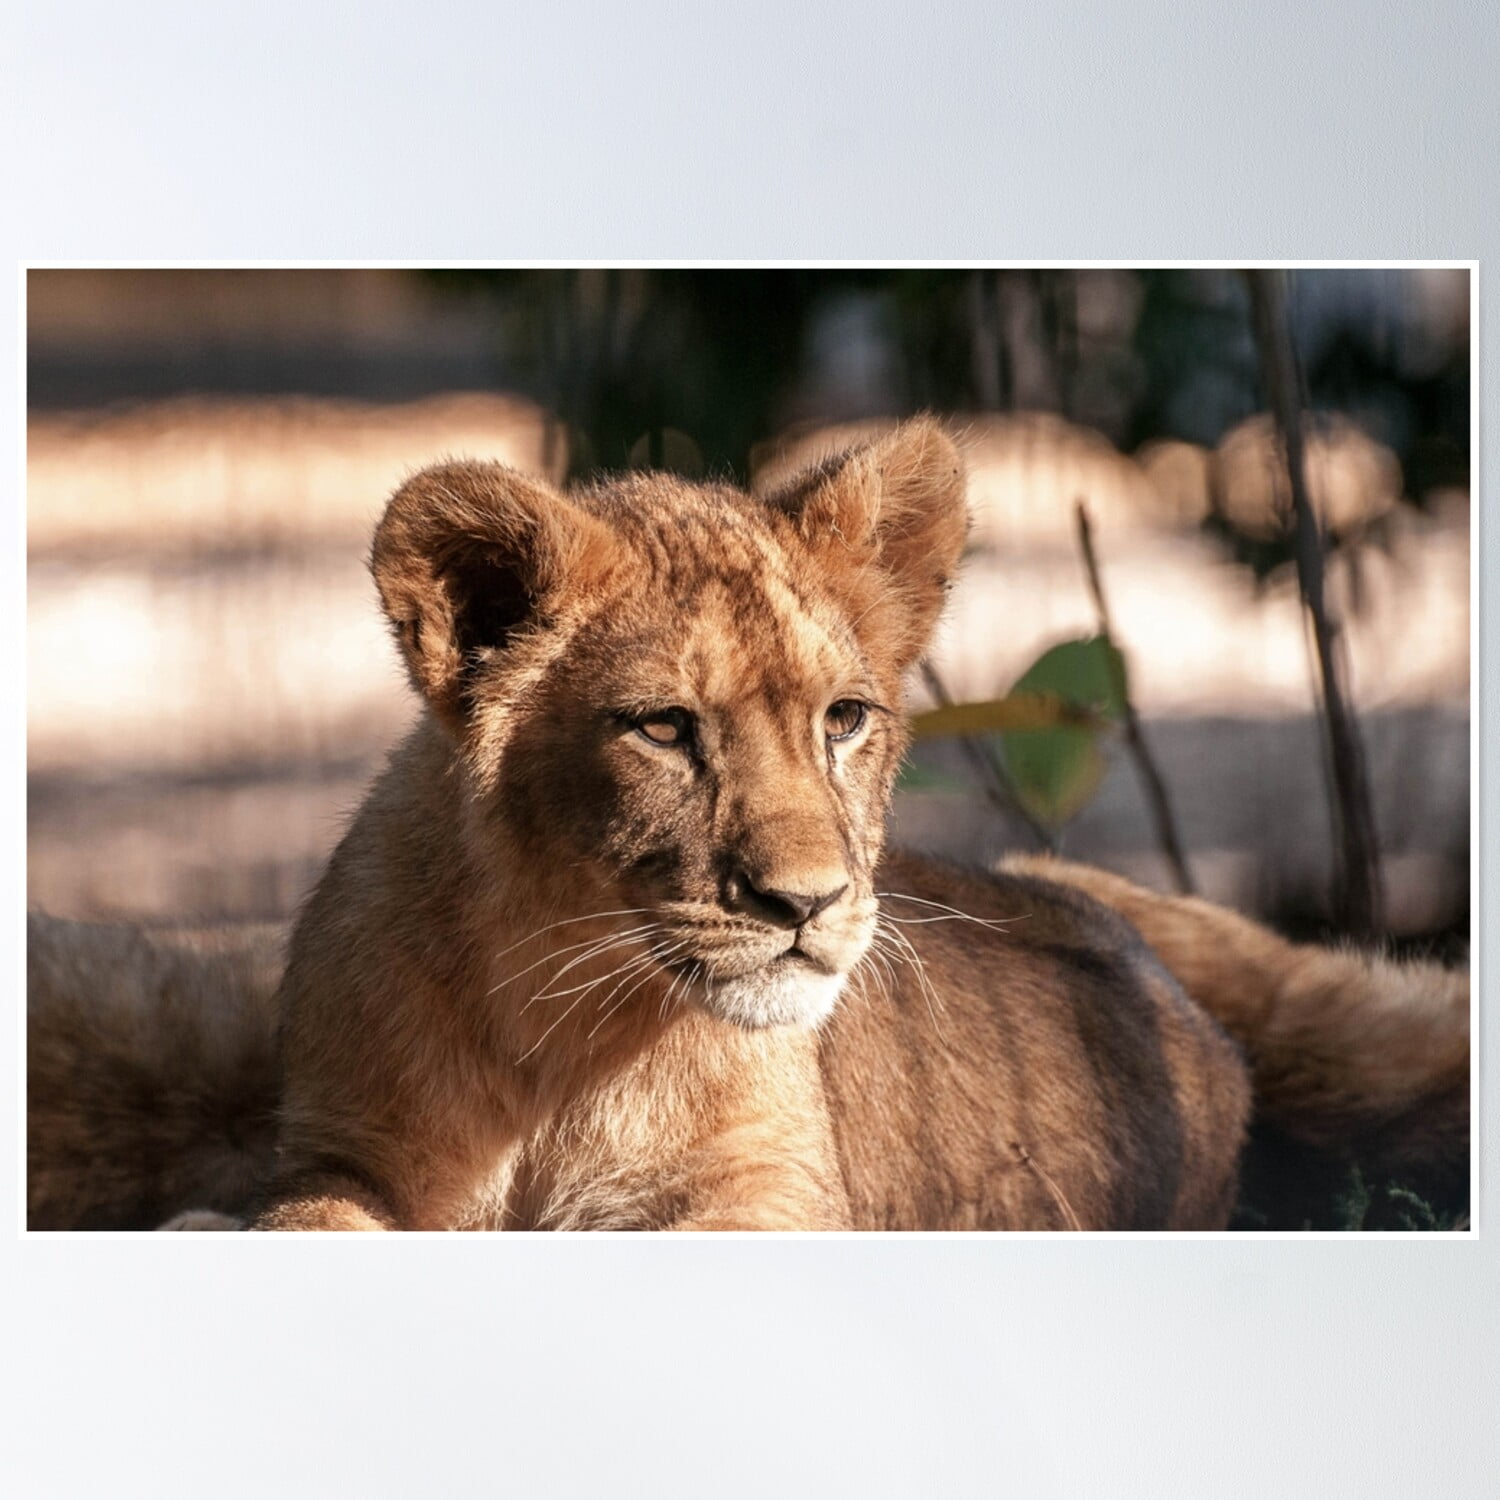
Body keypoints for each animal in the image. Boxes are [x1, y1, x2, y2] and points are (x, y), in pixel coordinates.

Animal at [26, 419, 1470, 1230]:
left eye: (845, 719)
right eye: (666, 729)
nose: (807, 905)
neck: (555, 1034)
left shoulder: (768, 1191)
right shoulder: (339, 1155)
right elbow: (297, 1229)